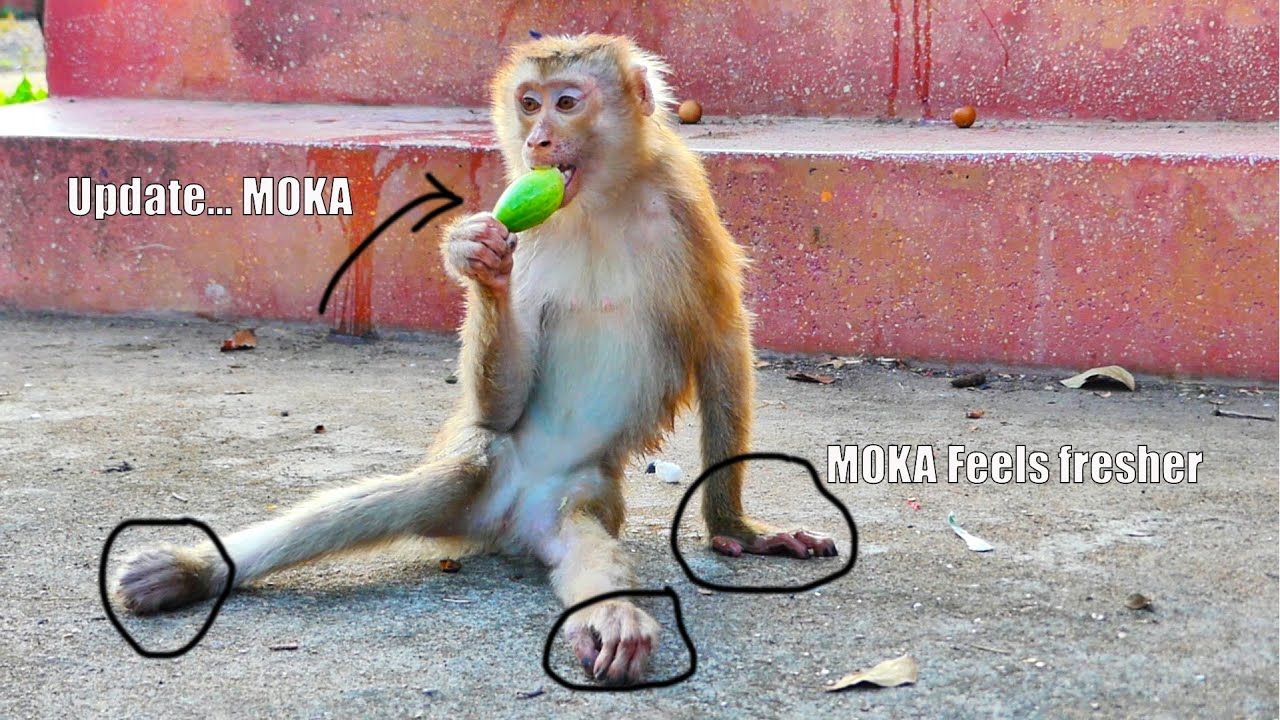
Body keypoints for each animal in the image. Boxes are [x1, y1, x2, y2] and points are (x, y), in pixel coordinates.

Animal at [113, 34, 837, 684]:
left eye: (566, 102)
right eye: (528, 103)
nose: (538, 140)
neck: (600, 205)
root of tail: (512, 520)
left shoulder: (687, 211)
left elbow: (722, 345)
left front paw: (734, 527)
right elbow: (504, 396)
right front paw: (478, 264)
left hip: (581, 498)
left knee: (585, 548)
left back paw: (614, 623)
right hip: (483, 474)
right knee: (445, 476)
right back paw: (193, 571)